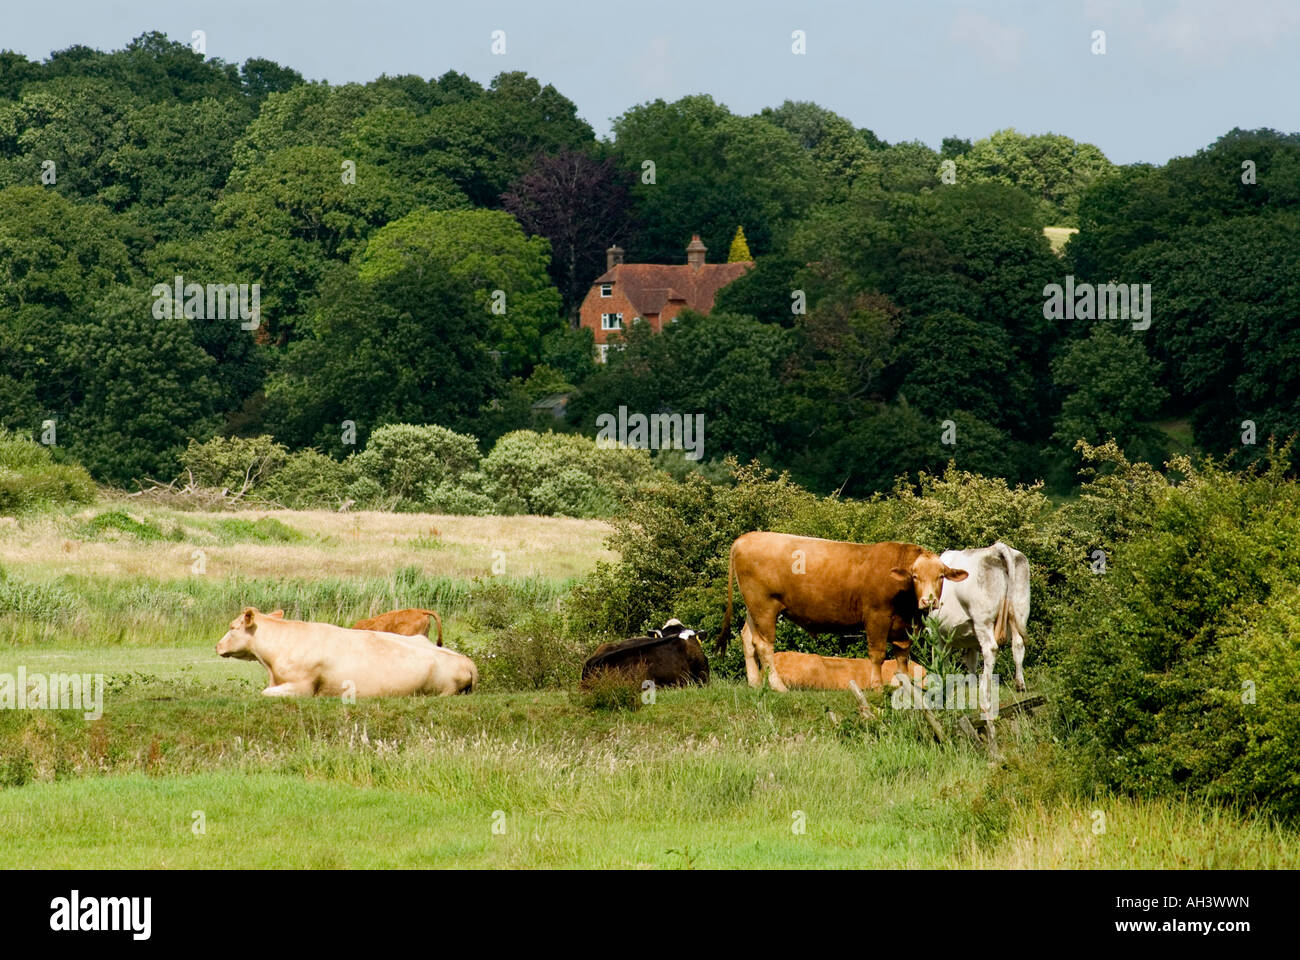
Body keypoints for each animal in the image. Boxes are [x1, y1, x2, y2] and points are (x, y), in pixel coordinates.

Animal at [930, 542, 1030, 709]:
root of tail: (995, 548)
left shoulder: (935, 632)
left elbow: (941, 661)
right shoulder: (970, 640)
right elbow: (971, 663)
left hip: (983, 619)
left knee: (991, 648)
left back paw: (985, 694)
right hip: (1018, 610)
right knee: (1018, 643)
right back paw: (1020, 685)